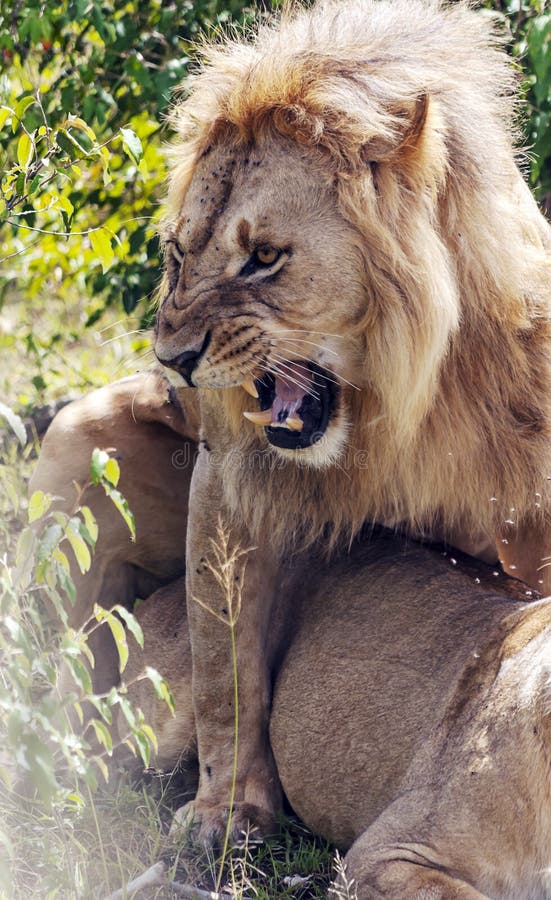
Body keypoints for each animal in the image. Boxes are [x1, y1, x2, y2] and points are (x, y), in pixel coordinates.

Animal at [151, 0, 551, 843]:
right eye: (178, 255)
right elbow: (222, 661)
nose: (172, 360)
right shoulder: (230, 473)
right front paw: (226, 810)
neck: (389, 404)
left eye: (265, 257)